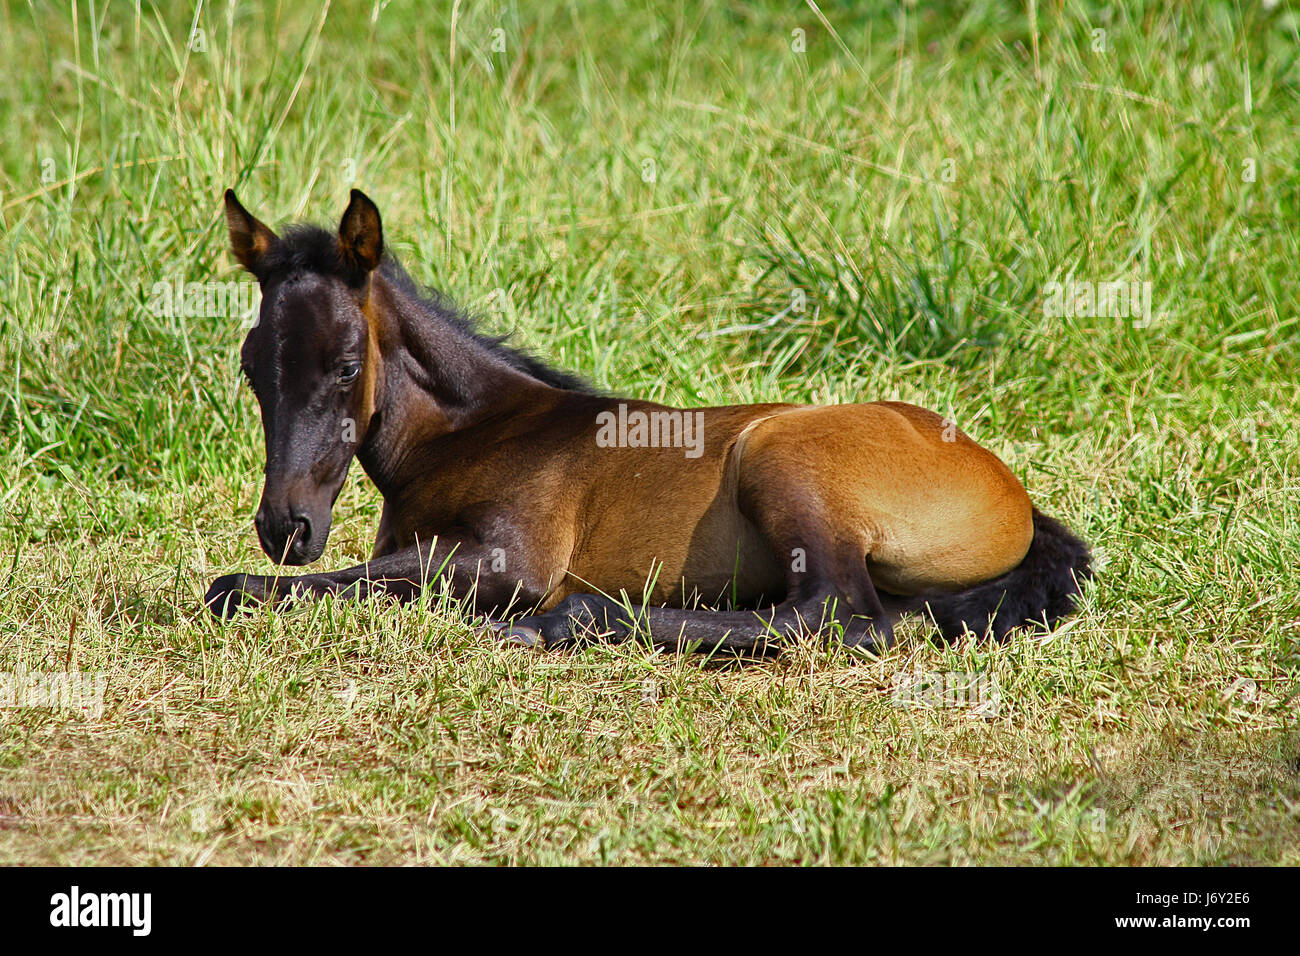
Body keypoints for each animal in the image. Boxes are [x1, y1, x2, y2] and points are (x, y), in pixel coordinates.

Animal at [205, 188, 1092, 655]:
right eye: (251, 368)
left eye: (346, 367)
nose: (285, 526)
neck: (481, 430)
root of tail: (1011, 495)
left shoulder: (515, 559)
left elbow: (263, 586)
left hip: (782, 457)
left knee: (834, 614)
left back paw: (567, 622)